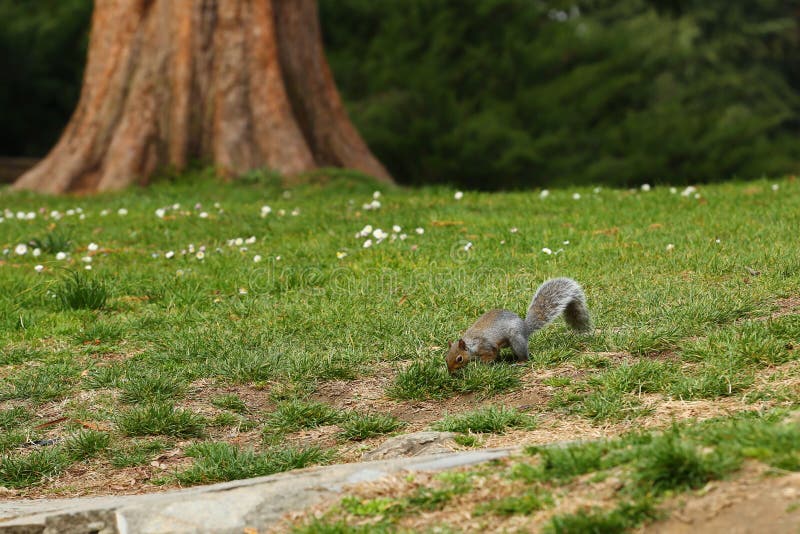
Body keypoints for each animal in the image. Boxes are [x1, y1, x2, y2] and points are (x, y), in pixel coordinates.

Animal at [445, 277, 592, 373]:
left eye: (459, 358)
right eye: (446, 358)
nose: (451, 373)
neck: (471, 344)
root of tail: (525, 328)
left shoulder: (486, 346)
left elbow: (491, 355)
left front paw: (482, 366)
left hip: (516, 339)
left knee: (525, 357)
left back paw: (519, 362)